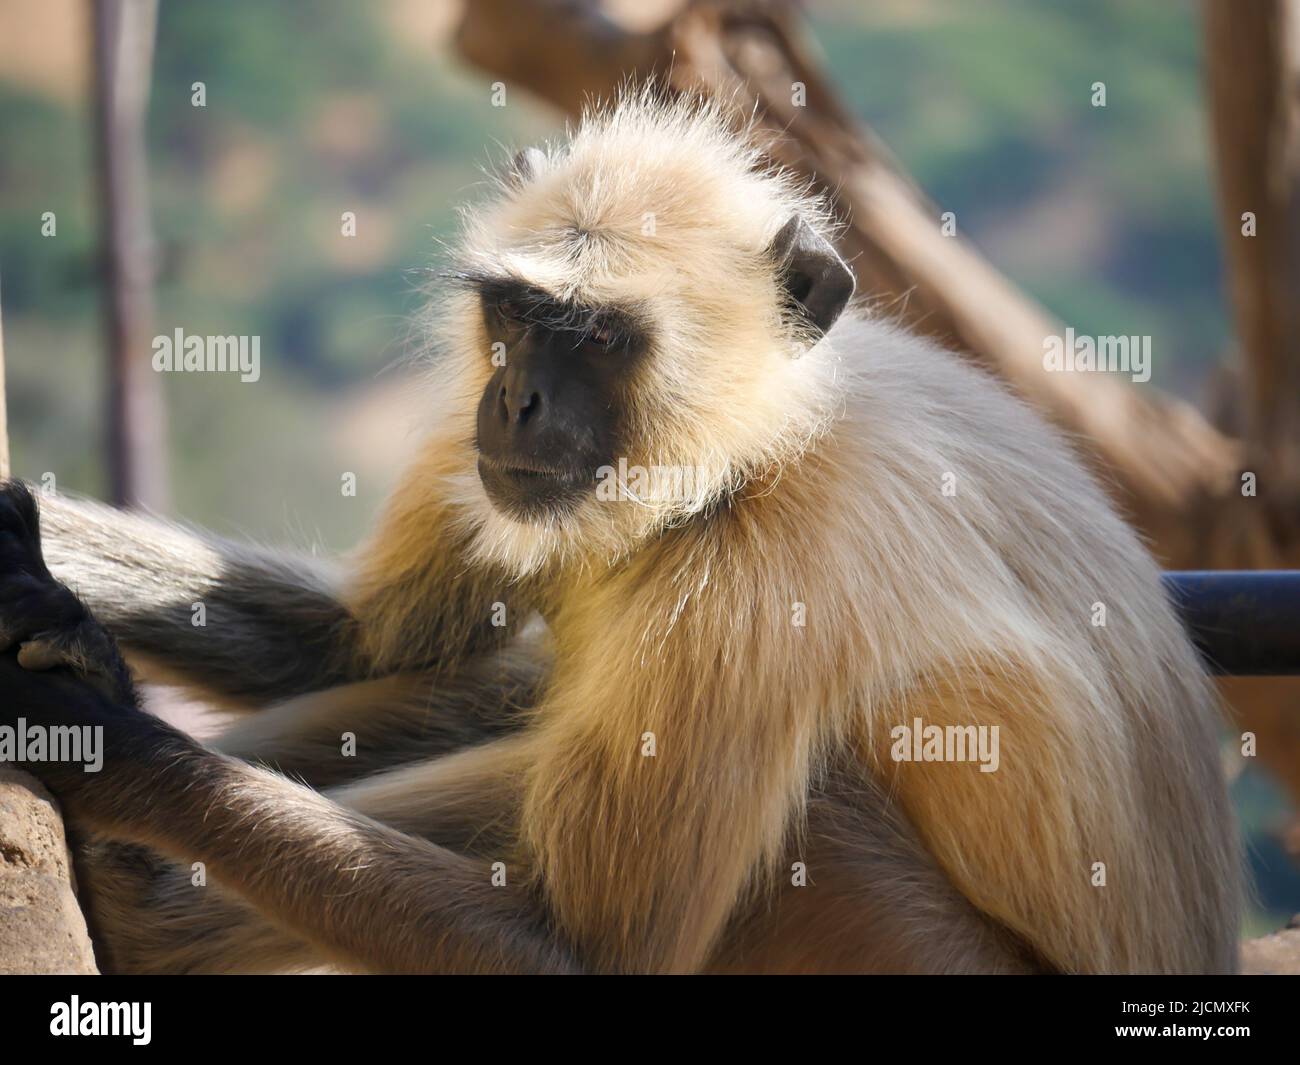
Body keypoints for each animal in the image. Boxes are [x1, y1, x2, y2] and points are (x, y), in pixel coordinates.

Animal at [0, 91, 1241, 975]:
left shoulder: (776, 567)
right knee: (491, 691)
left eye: (597, 338)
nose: (516, 400)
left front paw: (96, 738)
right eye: (514, 316)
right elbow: (351, 641)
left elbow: (590, 953)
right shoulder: (491, 462)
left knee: (809, 818)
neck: (747, 449)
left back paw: (131, 900)